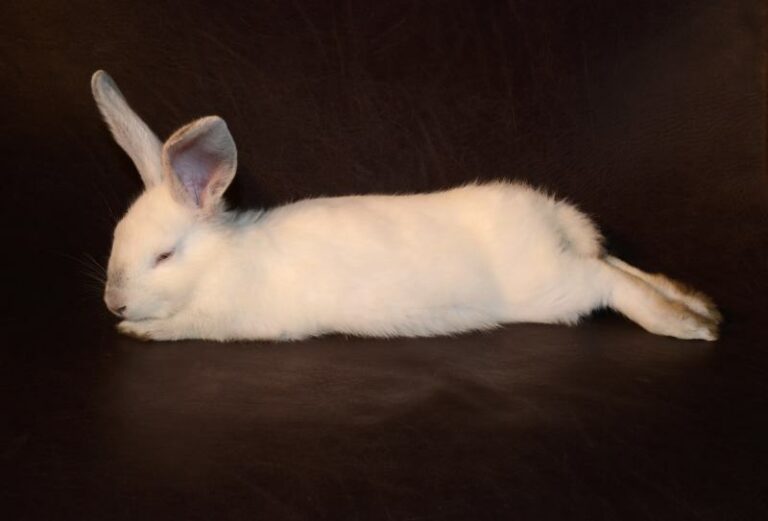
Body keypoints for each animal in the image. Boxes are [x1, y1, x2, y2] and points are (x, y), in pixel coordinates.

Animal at [91, 70, 721, 342]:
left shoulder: (227, 320)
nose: (113, 303)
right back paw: (698, 303)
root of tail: (551, 218)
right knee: (614, 263)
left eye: (163, 257)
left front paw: (138, 331)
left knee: (604, 280)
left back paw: (685, 324)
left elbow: (184, 327)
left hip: (550, 290)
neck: (222, 262)